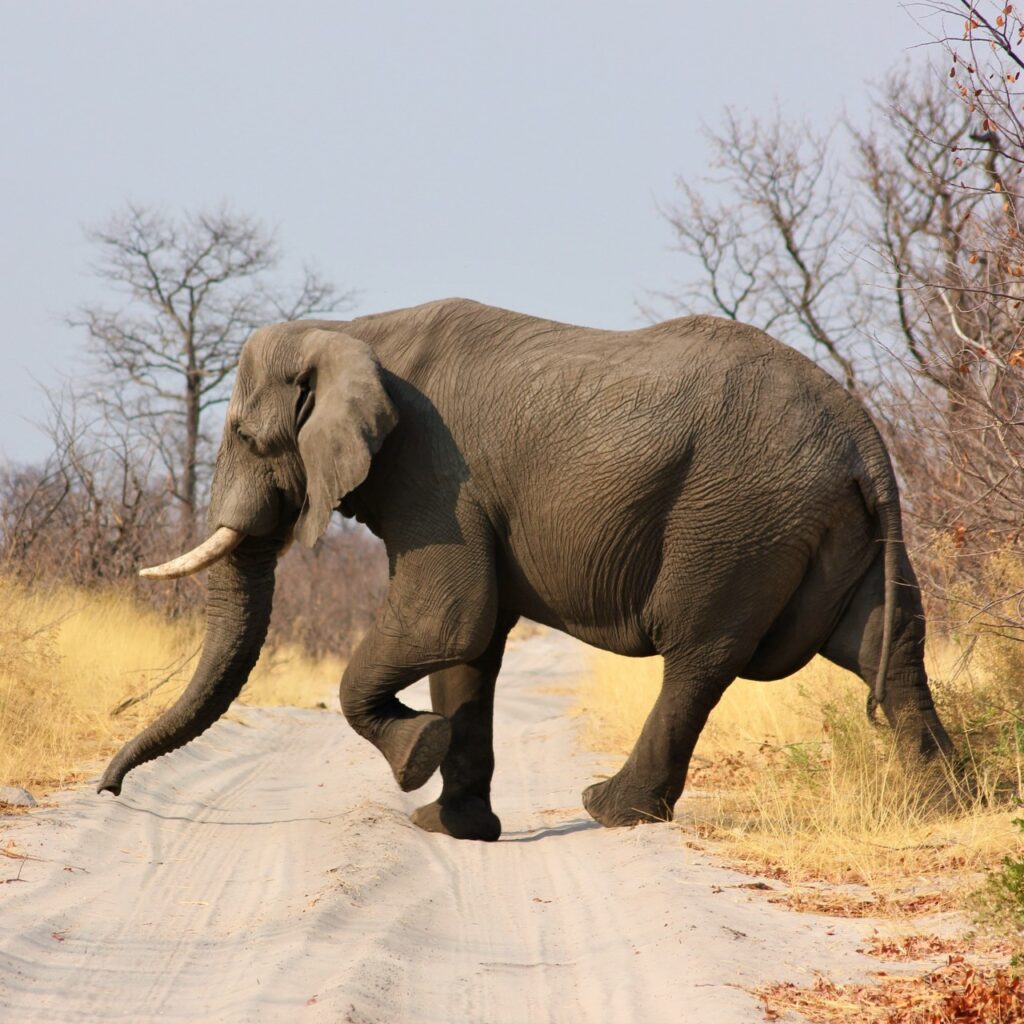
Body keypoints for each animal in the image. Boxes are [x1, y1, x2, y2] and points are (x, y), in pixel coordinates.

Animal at [98, 298, 954, 841]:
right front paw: (450, 825)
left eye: (247, 437)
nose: (106, 791)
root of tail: (864, 435)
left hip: (737, 518)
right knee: (887, 643)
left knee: (700, 657)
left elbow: (449, 617)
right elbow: (470, 648)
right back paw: (941, 803)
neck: (351, 331)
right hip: (828, 526)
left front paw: (415, 755)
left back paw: (610, 809)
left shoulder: (434, 475)